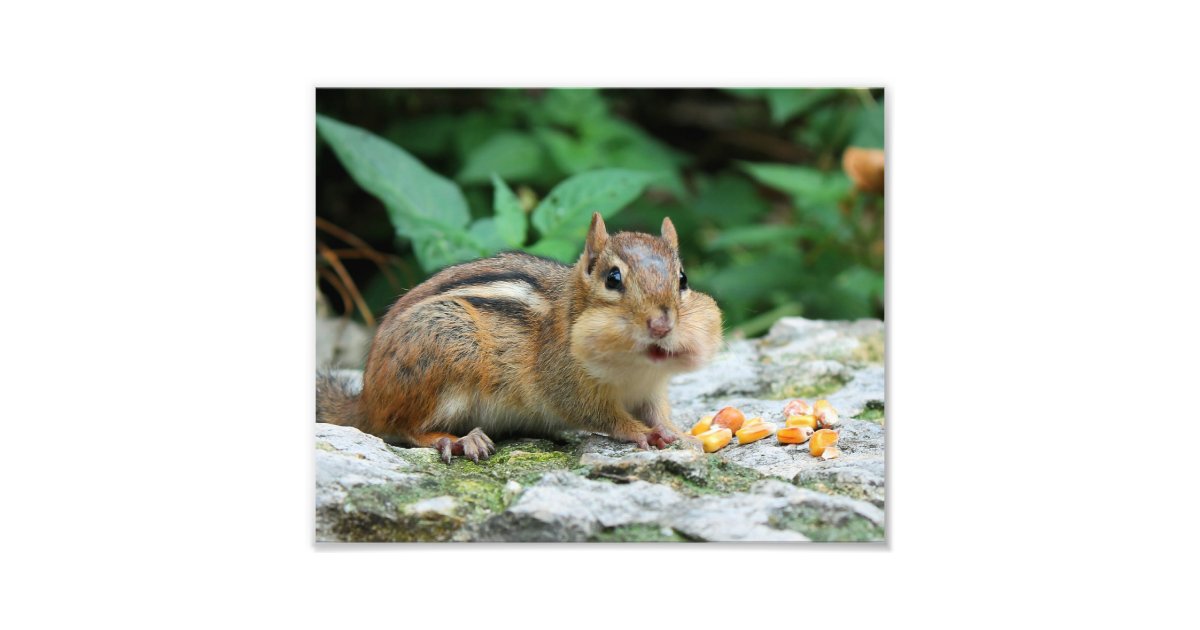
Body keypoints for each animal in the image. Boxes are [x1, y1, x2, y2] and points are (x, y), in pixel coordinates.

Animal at [317, 213, 723, 463]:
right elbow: (604, 417)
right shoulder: (567, 384)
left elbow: (659, 413)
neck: (635, 367)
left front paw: (680, 434)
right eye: (613, 279)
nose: (661, 325)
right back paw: (457, 439)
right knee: (400, 427)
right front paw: (640, 433)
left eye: (683, 279)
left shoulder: (651, 388)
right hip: (448, 341)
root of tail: (367, 398)